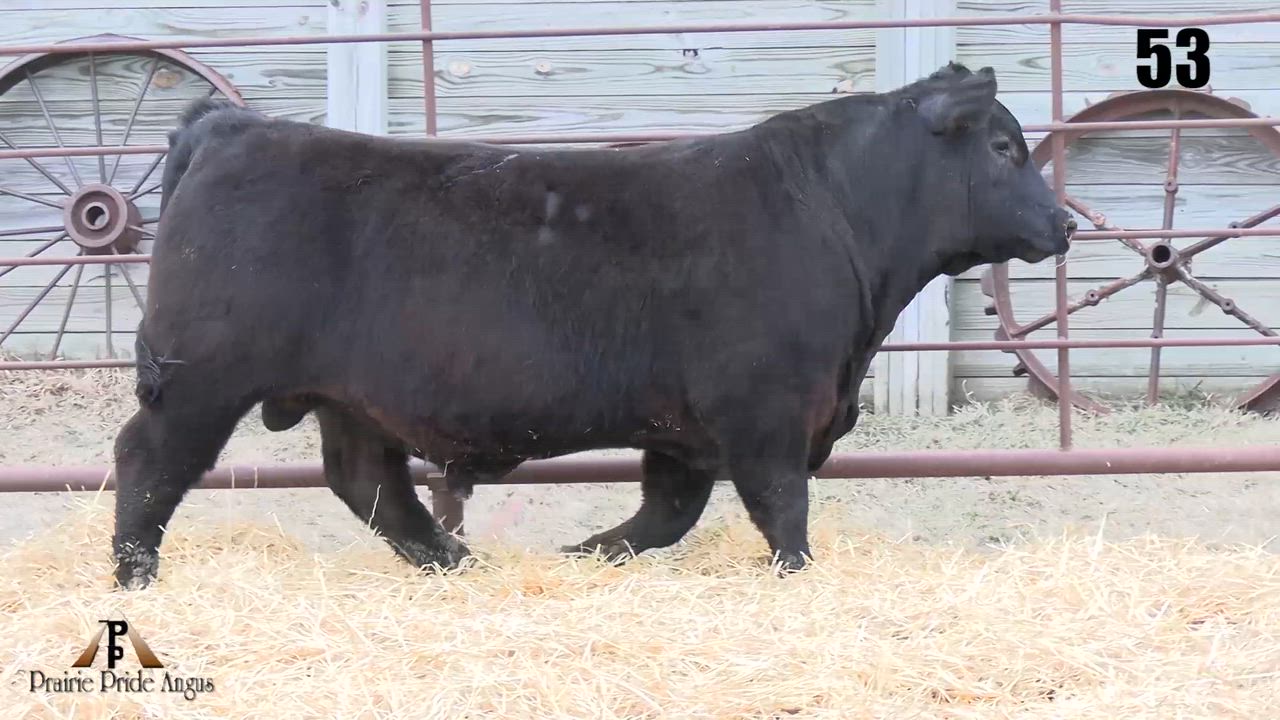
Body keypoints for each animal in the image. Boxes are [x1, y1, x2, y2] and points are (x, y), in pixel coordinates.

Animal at [111, 62, 1075, 589]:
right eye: (1003, 148)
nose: (1063, 224)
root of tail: (230, 126)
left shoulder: (687, 434)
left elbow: (665, 515)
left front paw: (583, 553)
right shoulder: (764, 412)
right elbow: (781, 512)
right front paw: (797, 578)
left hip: (347, 397)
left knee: (369, 482)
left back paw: (456, 563)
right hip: (201, 377)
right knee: (147, 461)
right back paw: (134, 574)